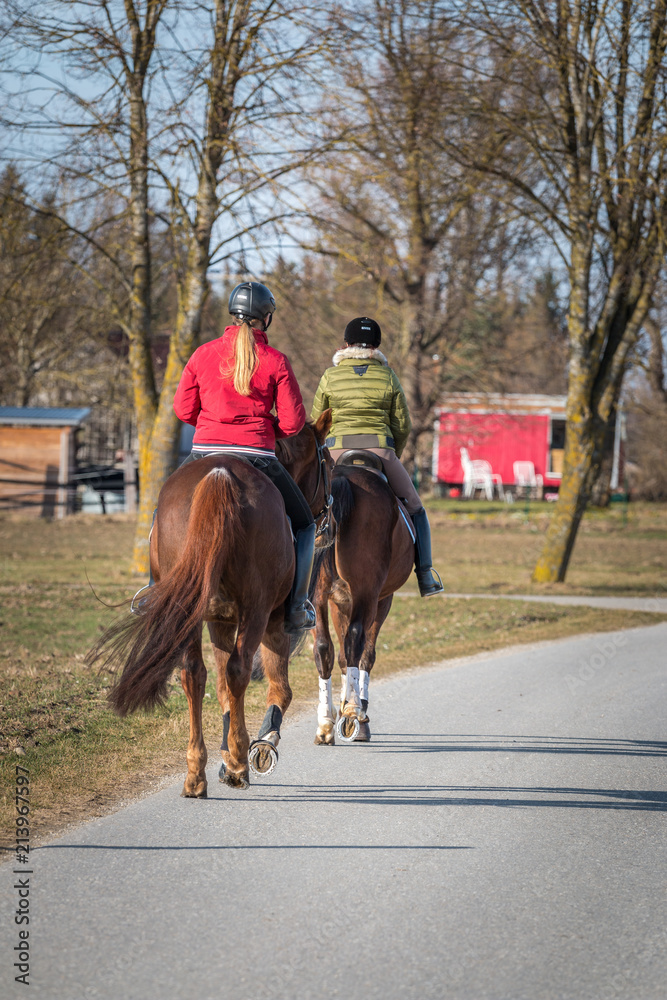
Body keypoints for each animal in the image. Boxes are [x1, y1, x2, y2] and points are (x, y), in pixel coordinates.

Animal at [87, 411, 333, 796]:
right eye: (329, 464)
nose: (329, 519)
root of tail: (220, 474)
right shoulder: (273, 624)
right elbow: (279, 690)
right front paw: (257, 749)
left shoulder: (219, 621)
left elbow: (221, 689)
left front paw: (228, 753)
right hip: (258, 612)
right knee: (239, 670)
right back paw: (237, 764)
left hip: (188, 612)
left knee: (194, 674)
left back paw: (196, 773)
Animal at [310, 455, 415, 745]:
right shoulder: (381, 600)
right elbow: (365, 654)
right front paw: (356, 710)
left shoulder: (337, 601)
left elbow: (343, 658)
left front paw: (344, 705)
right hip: (369, 595)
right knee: (357, 641)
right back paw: (354, 712)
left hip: (316, 595)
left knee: (323, 647)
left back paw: (326, 723)